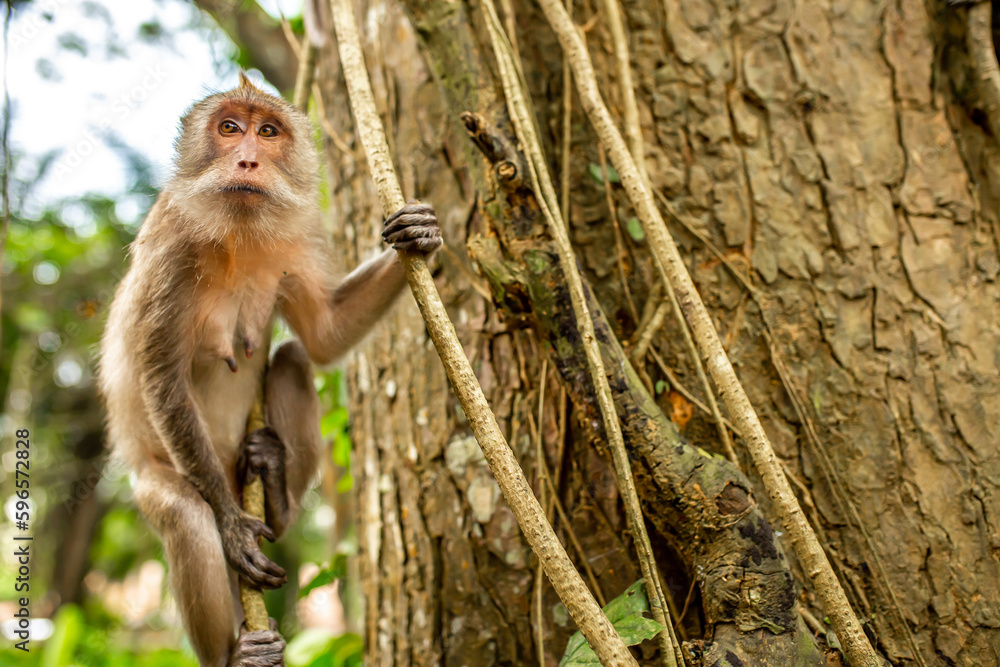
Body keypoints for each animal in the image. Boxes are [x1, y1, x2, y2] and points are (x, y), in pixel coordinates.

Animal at [98, 73, 441, 667]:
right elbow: (161, 376)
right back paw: (232, 652)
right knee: (185, 513)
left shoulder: (301, 233)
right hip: (157, 470)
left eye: (267, 132)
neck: (237, 229)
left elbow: (324, 337)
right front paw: (233, 529)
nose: (248, 160)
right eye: (229, 128)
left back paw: (277, 495)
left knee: (292, 360)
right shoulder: (169, 244)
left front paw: (415, 236)